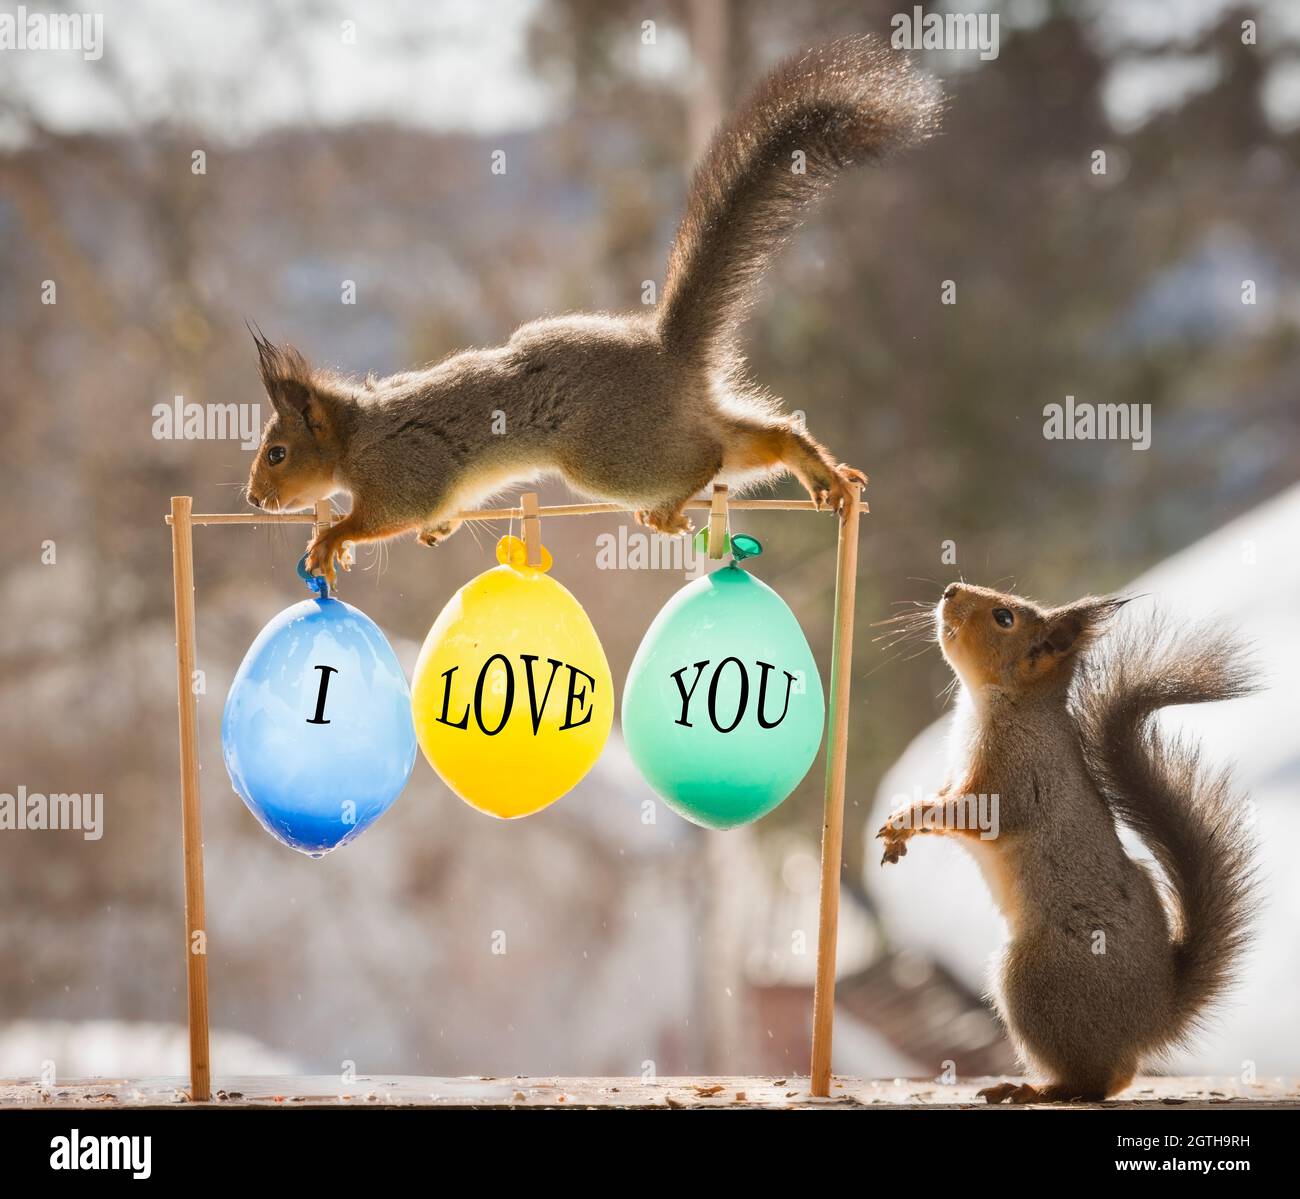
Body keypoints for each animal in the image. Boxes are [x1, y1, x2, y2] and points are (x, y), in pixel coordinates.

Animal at [241, 36, 941, 585]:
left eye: (277, 453)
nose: (252, 498)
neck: (356, 434)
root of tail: (665, 349)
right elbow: (441, 512)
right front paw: (438, 532)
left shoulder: (401, 471)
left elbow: (389, 514)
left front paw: (333, 538)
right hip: (672, 422)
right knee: (755, 438)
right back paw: (819, 472)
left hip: (613, 454)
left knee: (704, 460)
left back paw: (671, 506)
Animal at [876, 582, 1258, 1103]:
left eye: (1003, 617)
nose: (951, 590)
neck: (1003, 703)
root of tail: (1152, 1015)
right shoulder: (955, 778)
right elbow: (941, 800)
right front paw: (901, 833)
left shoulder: (1015, 779)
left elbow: (968, 813)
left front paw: (906, 818)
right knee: (1116, 1077)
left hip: (1036, 978)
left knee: (1095, 1081)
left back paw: (1034, 1089)